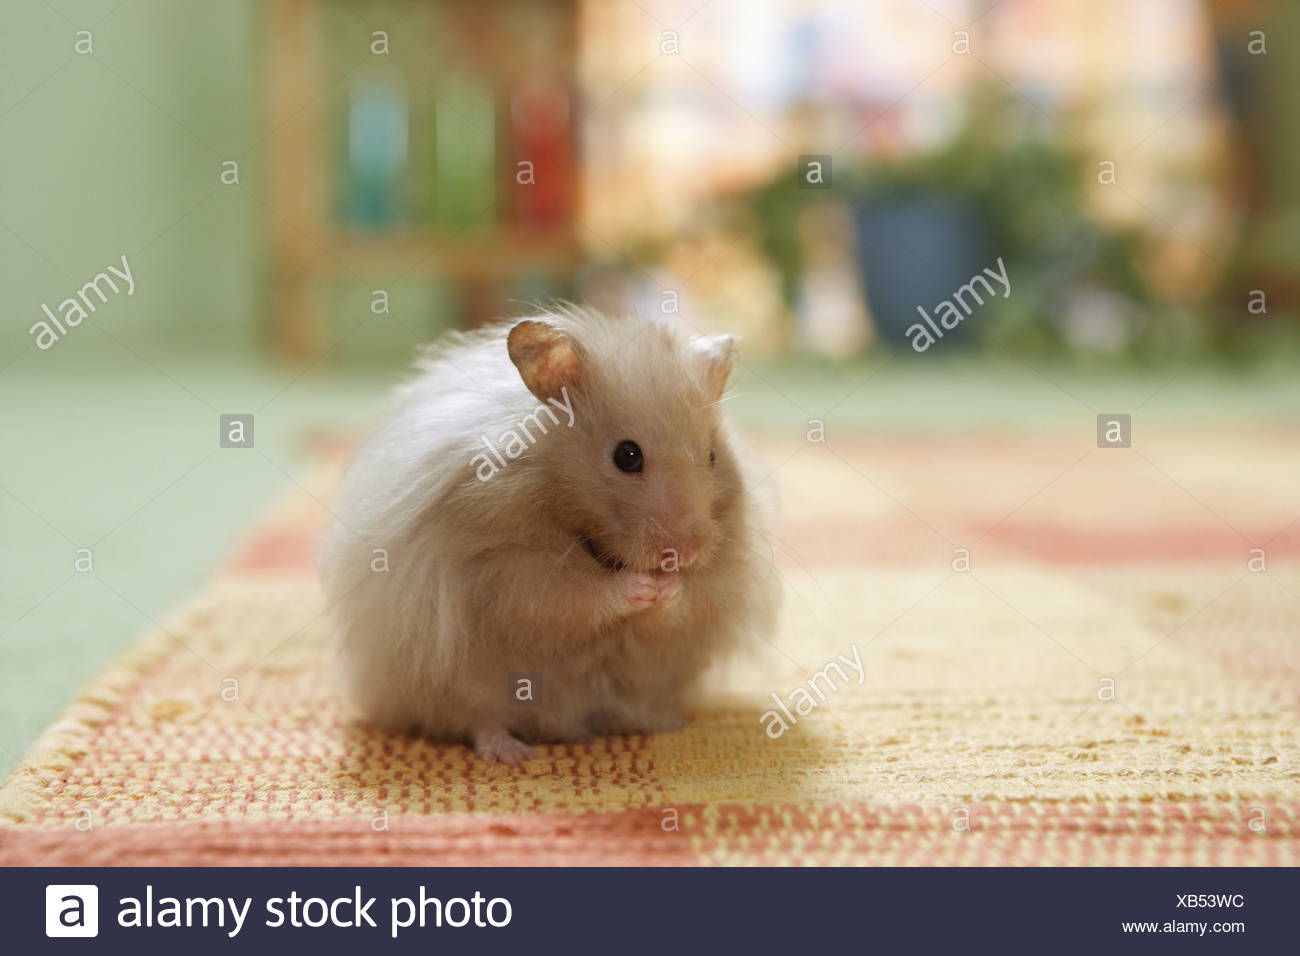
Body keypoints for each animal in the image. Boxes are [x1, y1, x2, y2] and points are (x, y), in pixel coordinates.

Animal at [320, 307, 779, 765]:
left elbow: (686, 603)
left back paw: (665, 723)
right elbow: (570, 596)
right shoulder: (506, 571)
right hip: (456, 681)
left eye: (712, 456)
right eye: (627, 455)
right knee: (477, 718)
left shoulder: (713, 585)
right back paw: (512, 754)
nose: (686, 552)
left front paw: (669, 587)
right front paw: (644, 586)